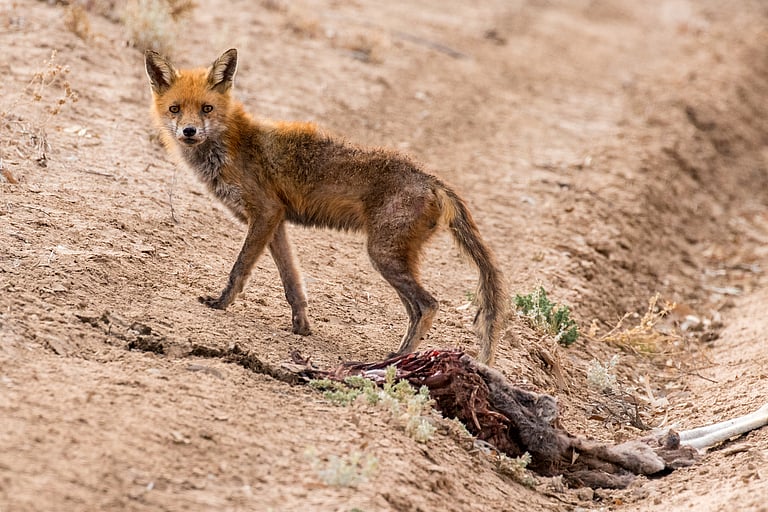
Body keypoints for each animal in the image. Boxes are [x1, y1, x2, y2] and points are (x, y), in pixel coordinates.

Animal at [144, 48, 508, 364]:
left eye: (206, 109)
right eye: (176, 109)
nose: (189, 131)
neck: (230, 145)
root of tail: (432, 179)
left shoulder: (264, 212)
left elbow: (239, 269)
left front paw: (220, 304)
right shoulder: (275, 222)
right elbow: (292, 282)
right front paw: (301, 327)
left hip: (383, 255)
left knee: (428, 305)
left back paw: (397, 359)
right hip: (390, 257)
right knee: (418, 307)